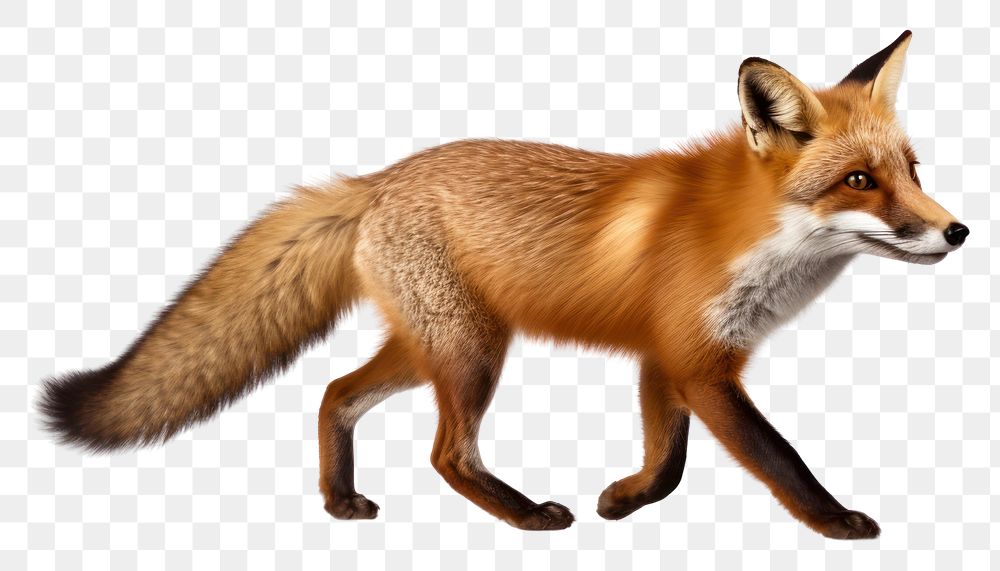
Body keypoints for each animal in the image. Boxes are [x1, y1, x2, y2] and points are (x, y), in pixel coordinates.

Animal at [39, 30, 969, 539]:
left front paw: (624, 502)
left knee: (335, 392)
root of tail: (379, 180)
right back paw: (523, 516)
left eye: (912, 170)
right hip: (472, 350)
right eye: (858, 182)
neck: (750, 237)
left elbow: (667, 461)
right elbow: (779, 458)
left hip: (433, 346)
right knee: (446, 452)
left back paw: (339, 501)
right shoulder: (698, 360)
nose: (957, 231)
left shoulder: (666, 356)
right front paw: (837, 522)